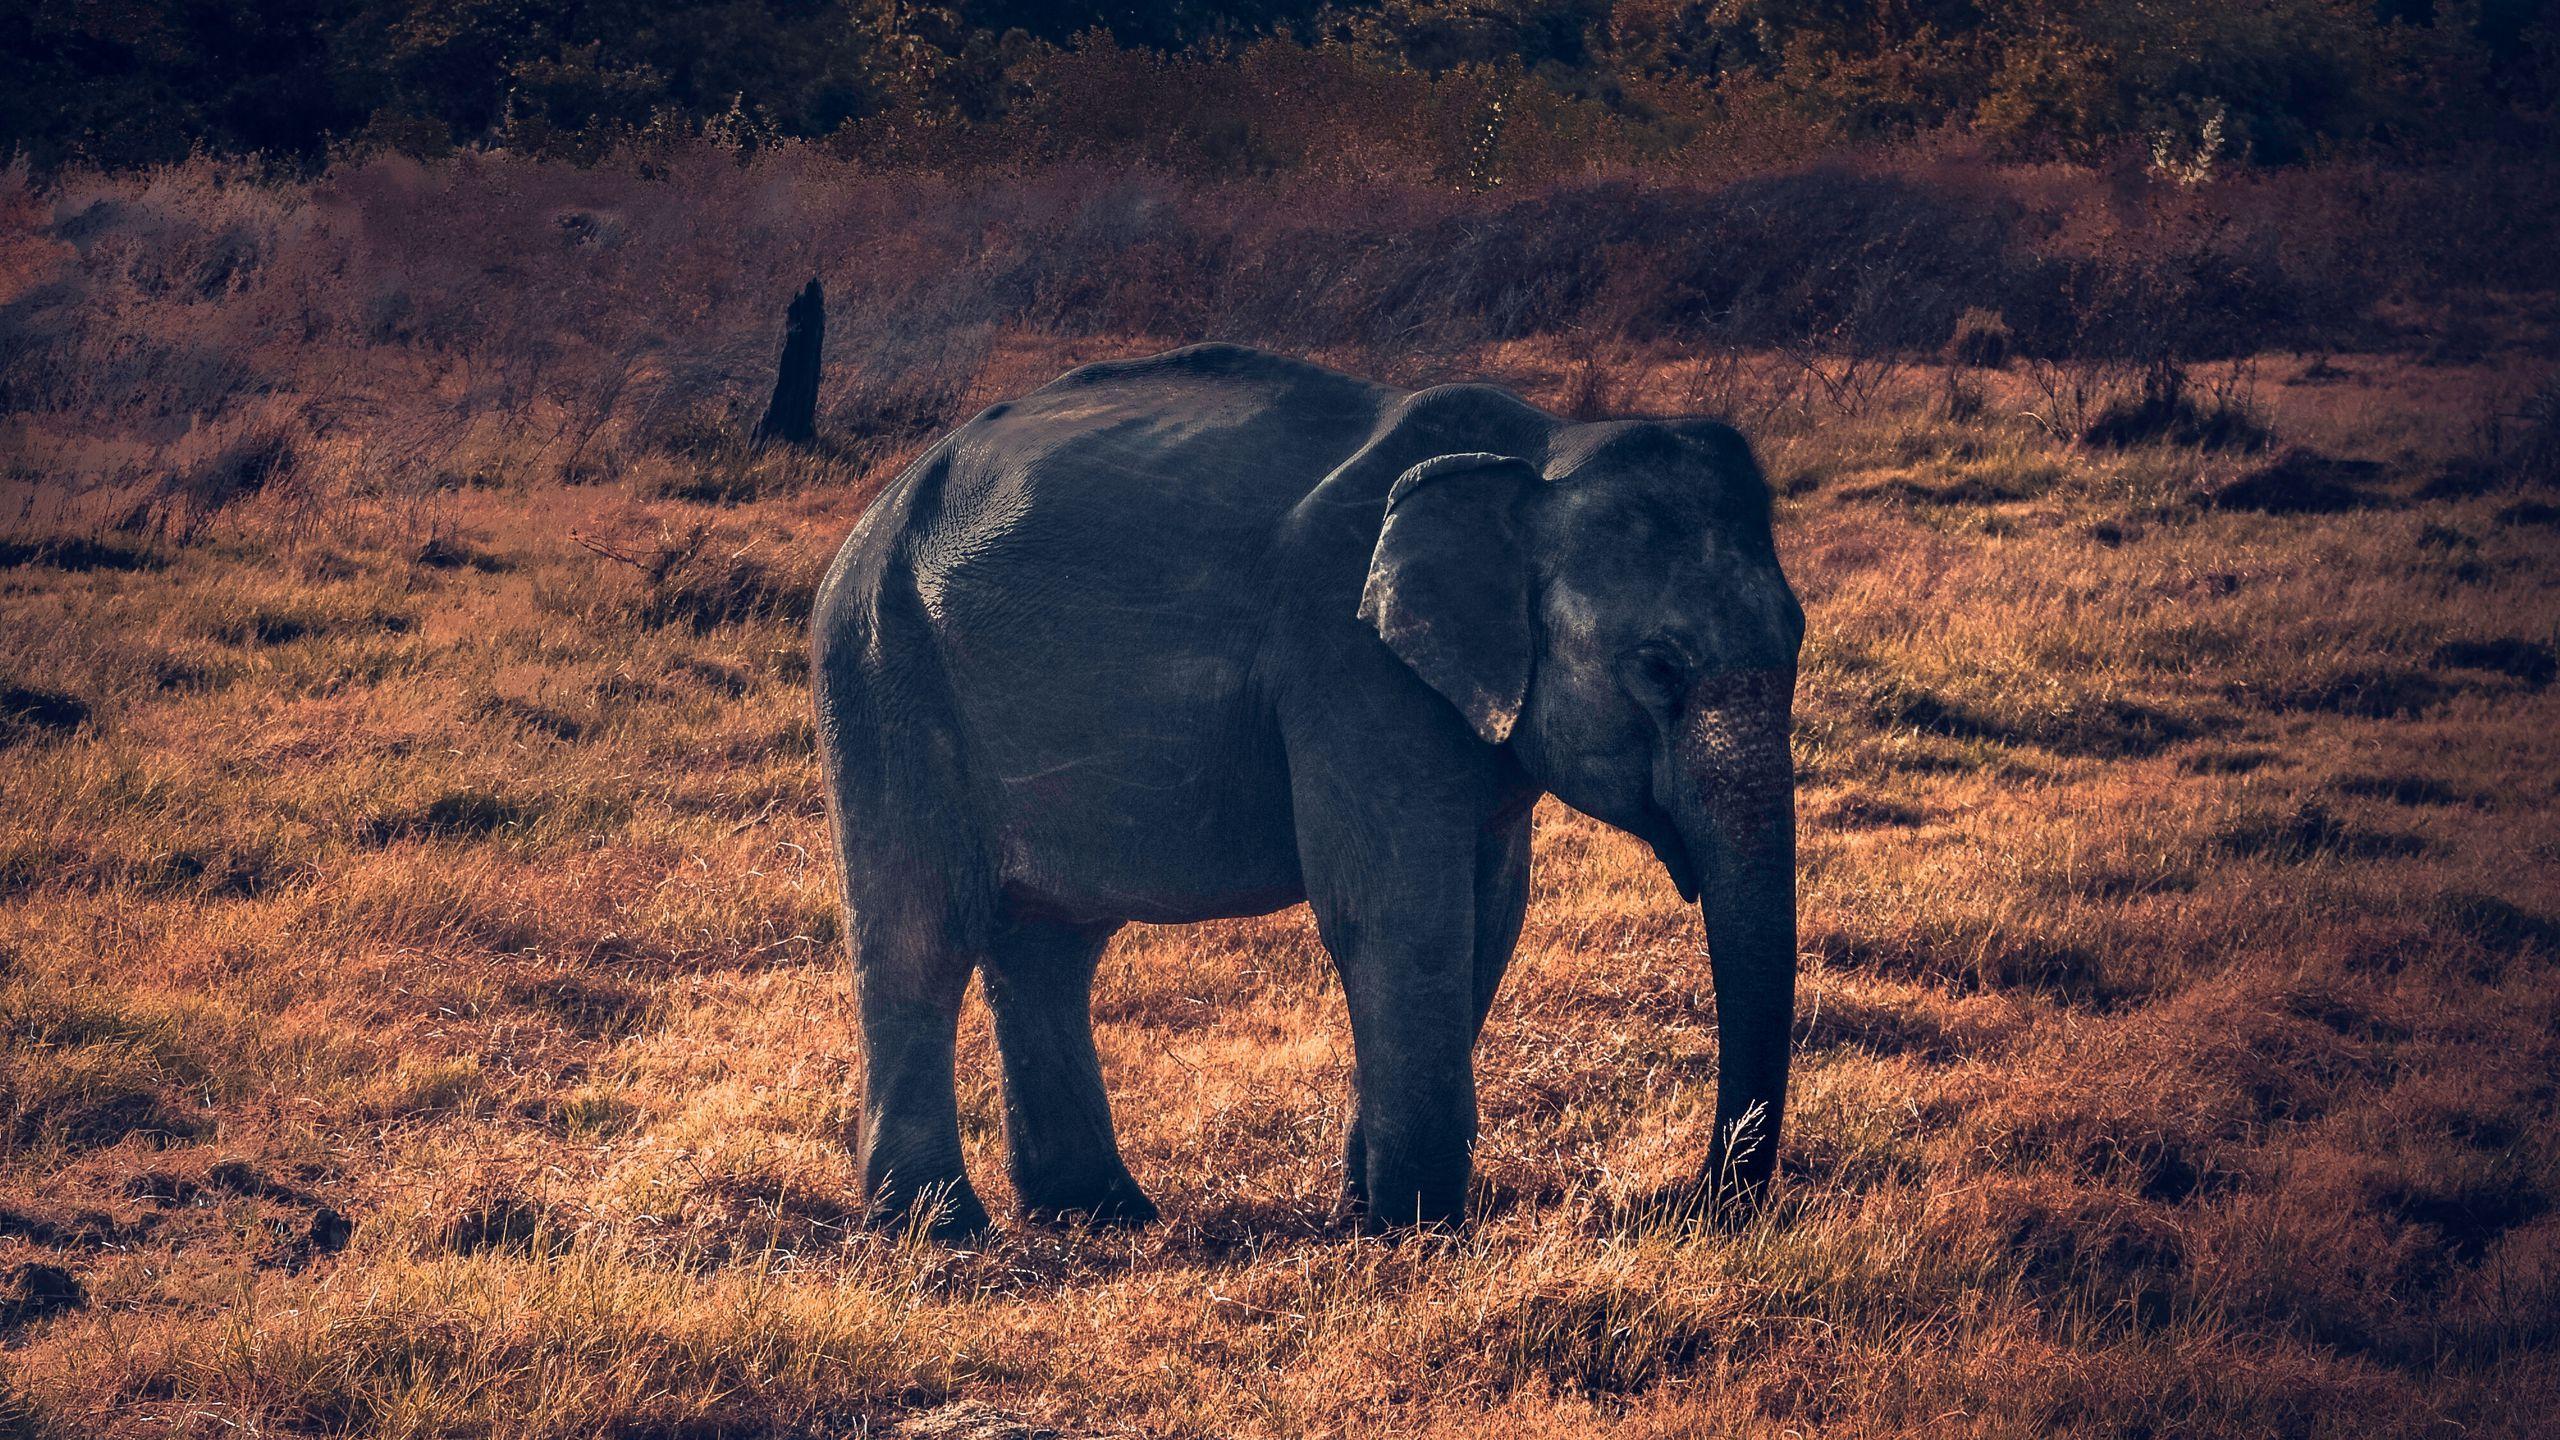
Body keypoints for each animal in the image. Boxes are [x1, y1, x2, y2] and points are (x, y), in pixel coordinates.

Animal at [812, 342, 1803, 1236]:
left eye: (1797, 640)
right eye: (1659, 667)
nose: (1692, 1202)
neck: (1541, 450)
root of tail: (877, 514)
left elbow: (1490, 913)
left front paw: (1370, 1207)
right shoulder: (1348, 667)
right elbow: (1397, 911)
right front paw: (1414, 1227)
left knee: (1048, 944)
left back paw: (1097, 1213)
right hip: (881, 670)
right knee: (920, 932)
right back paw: (939, 1227)